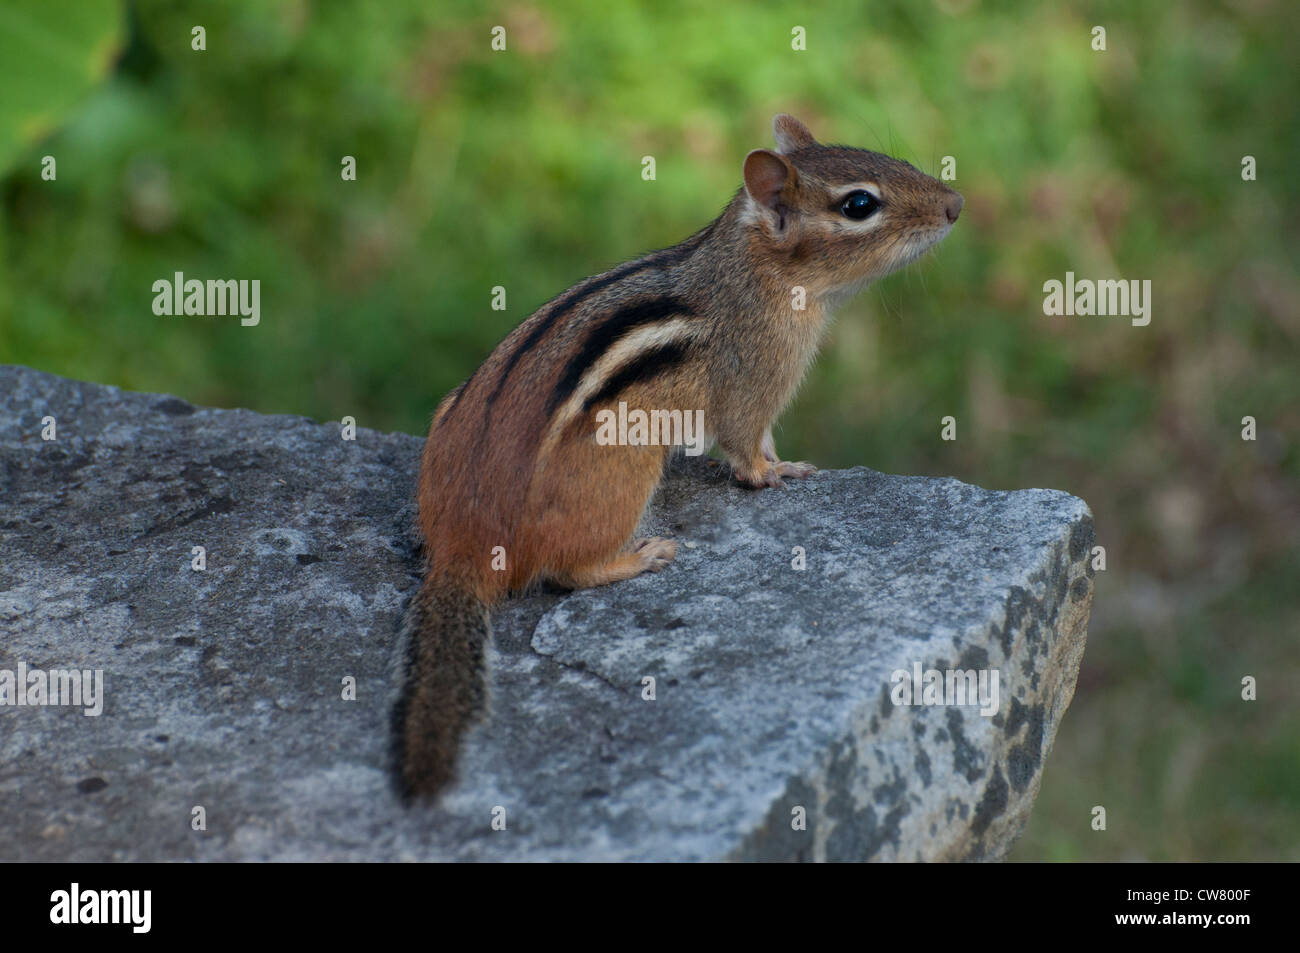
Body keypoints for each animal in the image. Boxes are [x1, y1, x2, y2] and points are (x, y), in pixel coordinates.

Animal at [396, 114, 962, 799]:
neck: (751, 269)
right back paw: (640, 556)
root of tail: (466, 540)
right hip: (626, 470)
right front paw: (776, 473)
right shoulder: (756, 380)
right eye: (859, 205)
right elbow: (746, 447)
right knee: (565, 571)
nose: (957, 205)